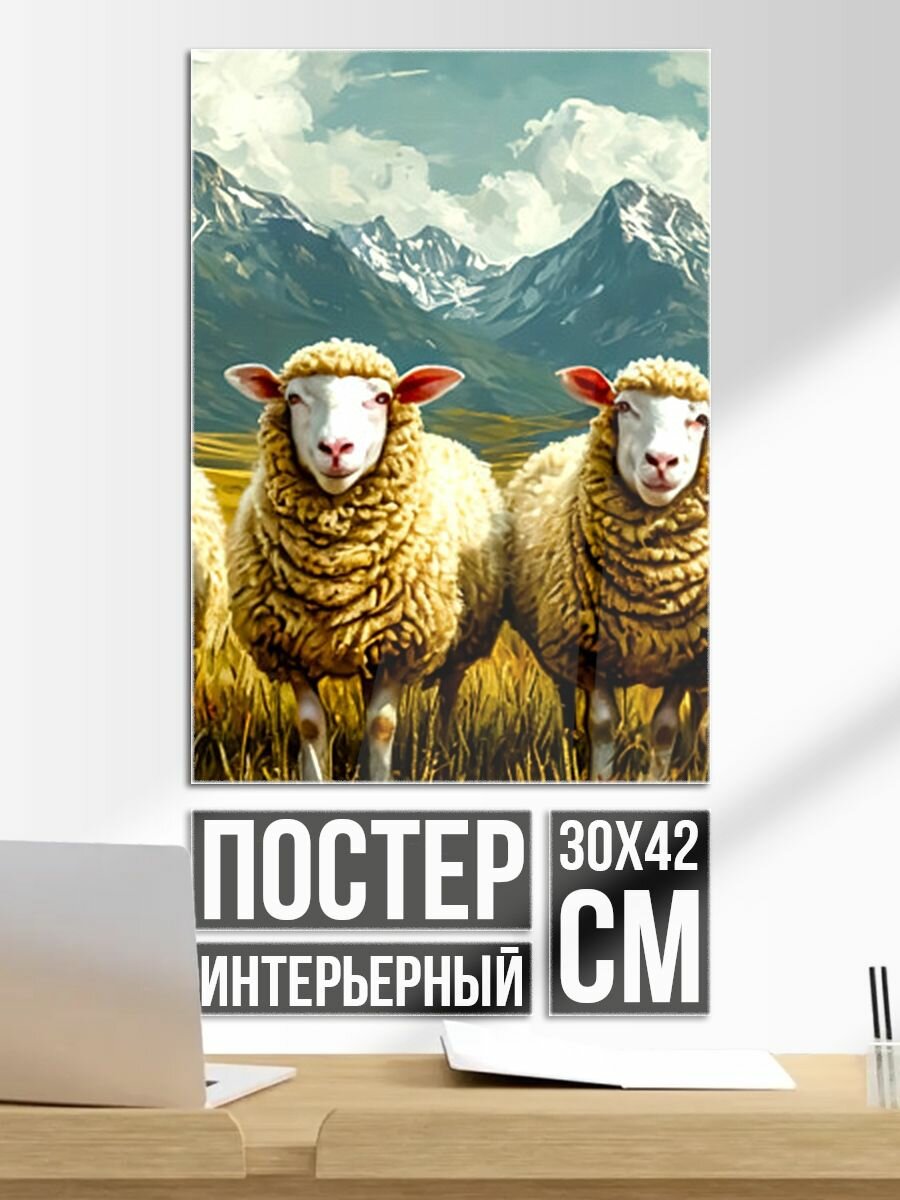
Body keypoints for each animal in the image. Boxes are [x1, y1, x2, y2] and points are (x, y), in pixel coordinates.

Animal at [223, 337, 507, 783]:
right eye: (293, 398)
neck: (335, 572)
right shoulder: (290, 648)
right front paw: (315, 775)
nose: (336, 448)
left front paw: (380, 774)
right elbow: (311, 725)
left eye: (382, 398)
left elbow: (382, 724)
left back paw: (443, 749)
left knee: (448, 694)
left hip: (464, 637)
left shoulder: (399, 645)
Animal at [506, 356, 709, 782]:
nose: (661, 462)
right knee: (568, 702)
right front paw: (601, 775)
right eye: (624, 406)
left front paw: (658, 775)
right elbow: (602, 723)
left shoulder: (683, 658)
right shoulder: (592, 649)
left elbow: (664, 728)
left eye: (701, 419)